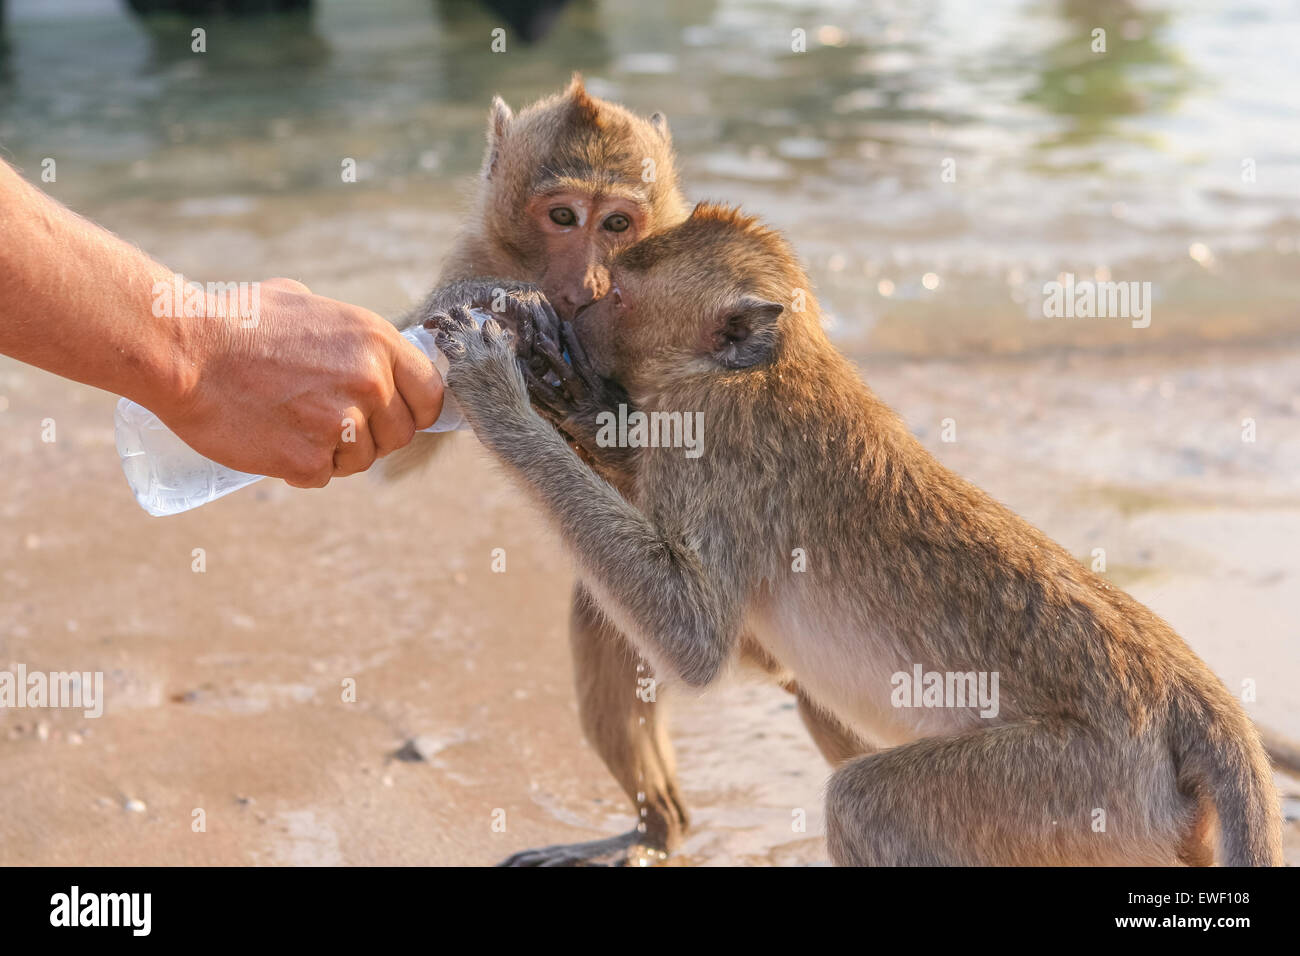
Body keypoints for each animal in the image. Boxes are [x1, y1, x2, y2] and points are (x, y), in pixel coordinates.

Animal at [429, 202, 1284, 866]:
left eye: (616, 298)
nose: (572, 312)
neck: (763, 365)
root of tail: (1189, 693)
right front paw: (567, 394)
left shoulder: (720, 450)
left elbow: (695, 640)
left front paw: (495, 393)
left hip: (1079, 781)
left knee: (868, 804)